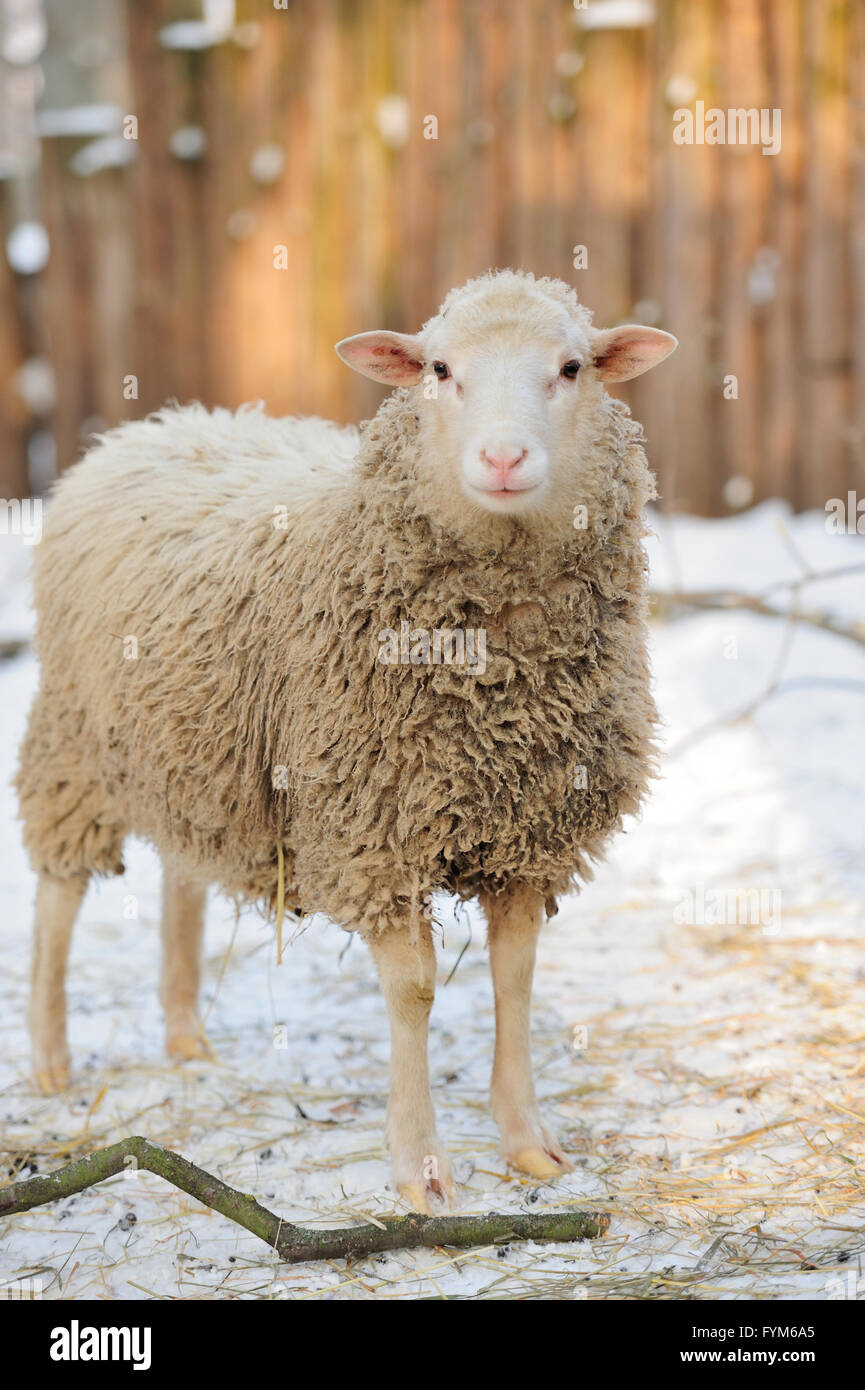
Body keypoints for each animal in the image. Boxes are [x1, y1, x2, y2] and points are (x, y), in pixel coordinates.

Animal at [16, 269, 676, 1213]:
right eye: (438, 369)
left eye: (571, 367)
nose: (503, 461)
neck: (495, 689)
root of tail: (155, 423)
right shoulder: (374, 834)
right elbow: (413, 990)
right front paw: (420, 1169)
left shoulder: (529, 833)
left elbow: (514, 976)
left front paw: (528, 1142)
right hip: (74, 744)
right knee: (58, 897)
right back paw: (49, 1059)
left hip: (192, 748)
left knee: (181, 877)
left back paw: (184, 1036)